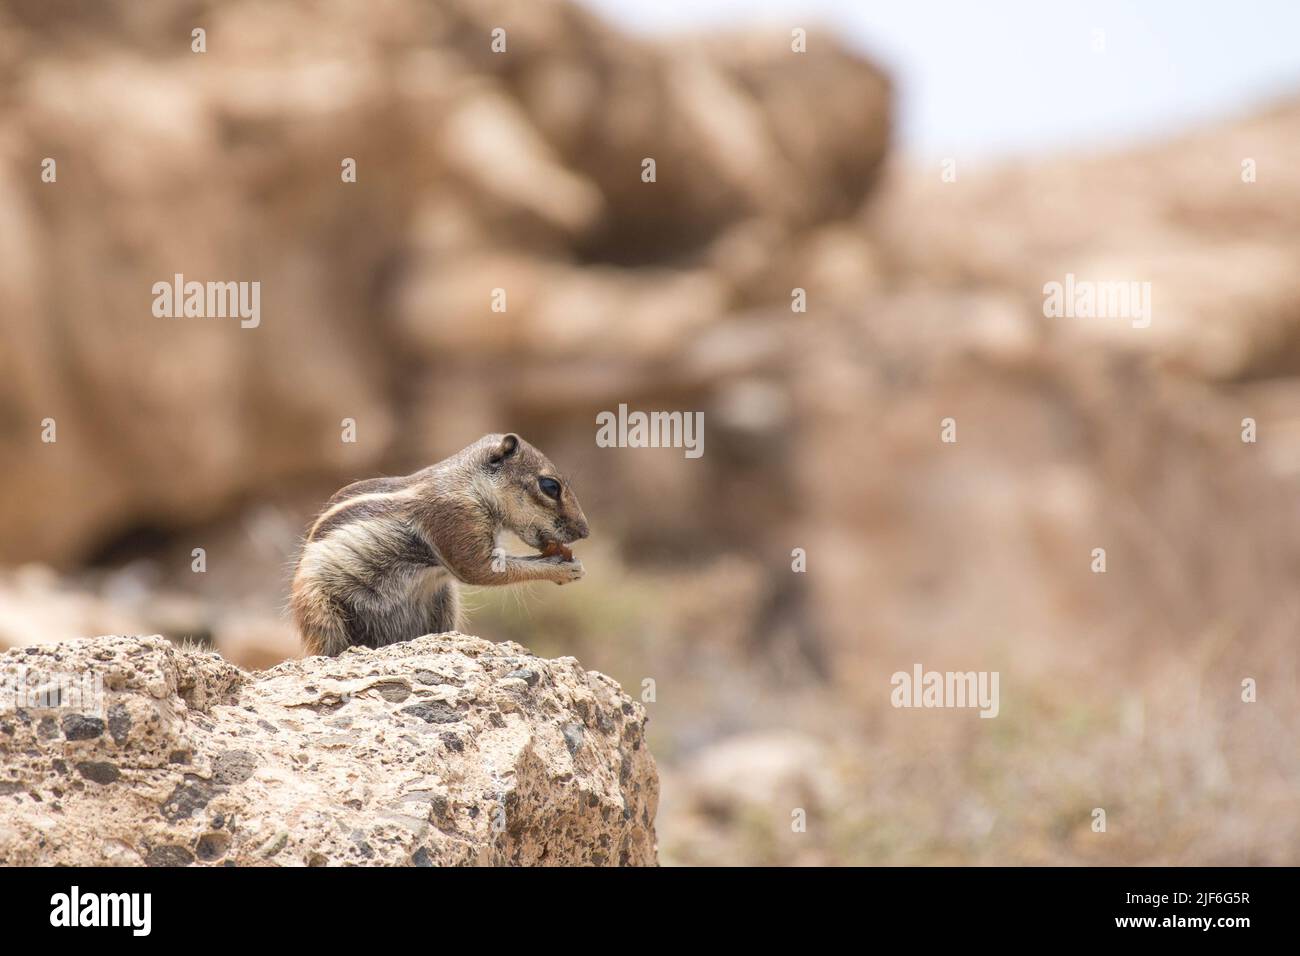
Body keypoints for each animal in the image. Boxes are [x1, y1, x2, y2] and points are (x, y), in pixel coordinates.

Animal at [291, 433, 588, 656]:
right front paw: (564, 569)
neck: (469, 483)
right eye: (550, 486)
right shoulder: (455, 518)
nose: (585, 531)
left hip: (443, 604)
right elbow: (479, 570)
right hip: (319, 608)